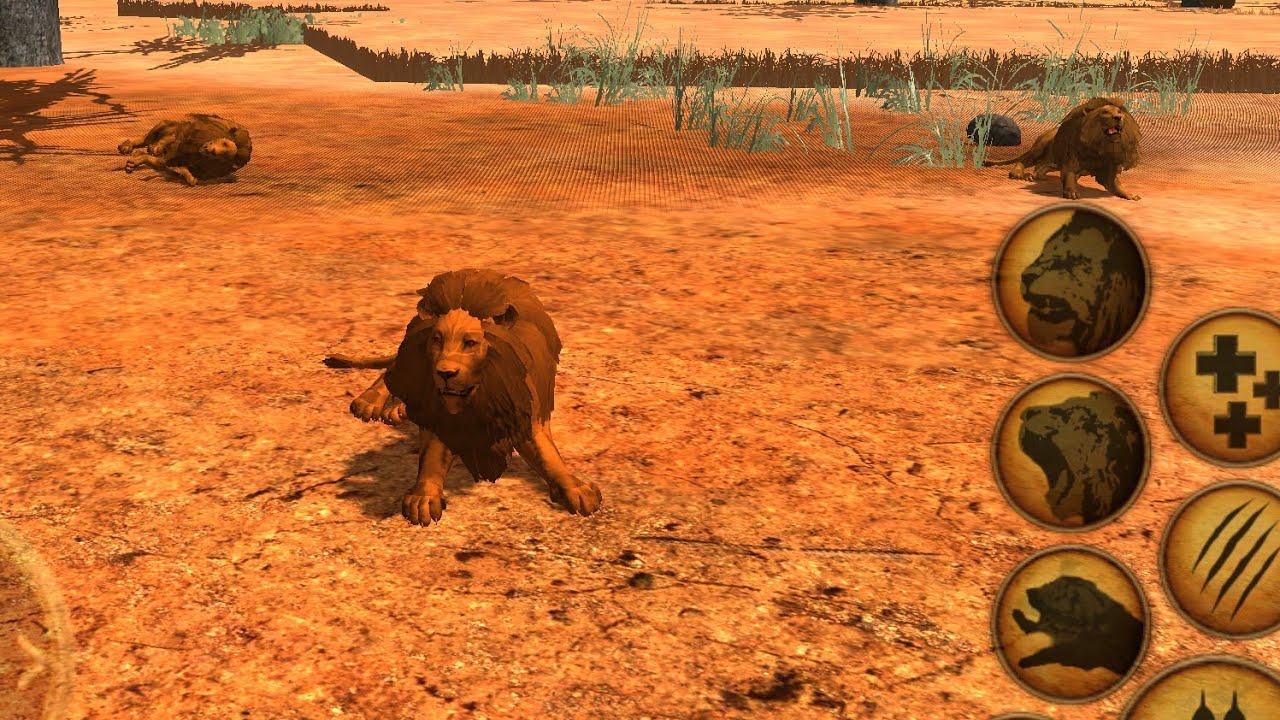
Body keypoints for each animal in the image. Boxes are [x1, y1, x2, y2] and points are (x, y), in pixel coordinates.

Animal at [118, 113, 252, 186]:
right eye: (223, 143)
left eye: (216, 155)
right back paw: (128, 147)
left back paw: (134, 161)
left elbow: (179, 167)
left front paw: (190, 178)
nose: (210, 149)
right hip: (165, 125)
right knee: (147, 139)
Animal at [324, 269, 602, 526]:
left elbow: (549, 456)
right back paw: (370, 402)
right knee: (391, 373)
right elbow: (432, 455)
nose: (444, 373)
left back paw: (398, 409)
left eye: (470, 343)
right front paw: (423, 498)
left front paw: (577, 489)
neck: (479, 394)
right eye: (437, 340)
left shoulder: (526, 416)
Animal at [984, 97, 1142, 200]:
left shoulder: (1108, 168)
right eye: (1105, 112)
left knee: (1043, 166)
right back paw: (1019, 173)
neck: (1099, 145)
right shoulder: (1071, 161)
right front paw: (1072, 193)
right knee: (1024, 160)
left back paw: (1035, 175)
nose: (1118, 117)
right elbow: (1070, 175)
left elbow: (1117, 185)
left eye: (1119, 112)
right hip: (1039, 148)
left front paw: (1130, 195)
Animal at [1012, 575, 1144, 675]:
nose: (1028, 591)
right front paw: (1017, 614)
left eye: (1054, 593)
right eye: (1049, 583)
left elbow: (1048, 652)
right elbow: (1031, 626)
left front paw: (1026, 661)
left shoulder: (1076, 653)